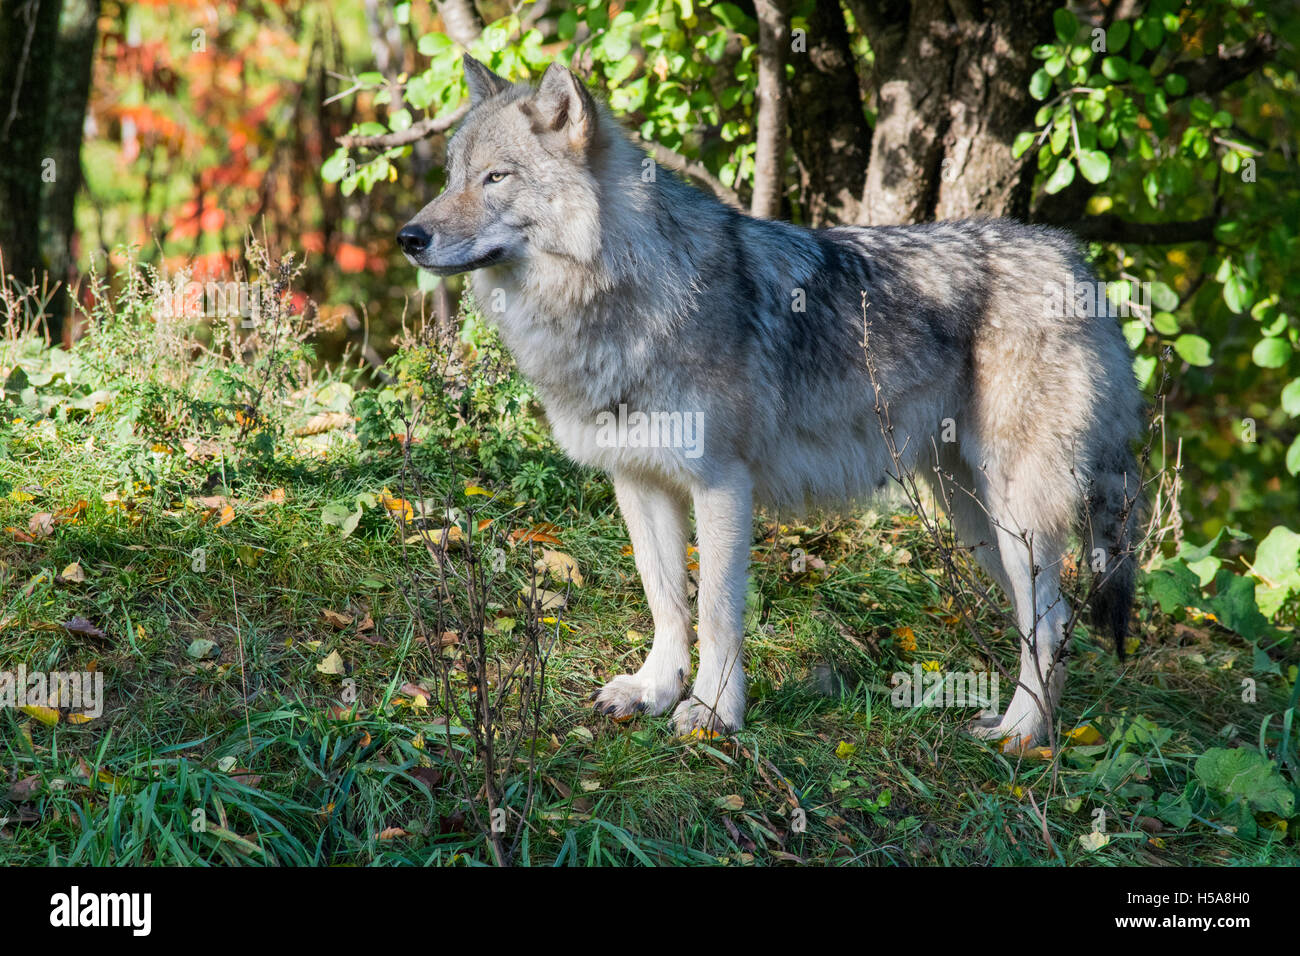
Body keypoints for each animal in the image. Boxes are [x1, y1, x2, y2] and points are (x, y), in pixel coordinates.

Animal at [397, 55, 1143, 747]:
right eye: (451, 176)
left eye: (497, 177)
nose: (409, 237)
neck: (626, 293)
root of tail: (1079, 265)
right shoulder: (638, 481)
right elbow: (664, 597)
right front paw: (655, 689)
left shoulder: (722, 485)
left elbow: (716, 611)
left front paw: (712, 712)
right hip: (973, 515)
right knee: (1051, 617)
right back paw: (1025, 727)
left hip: (1014, 512)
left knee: (1048, 621)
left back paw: (1021, 735)